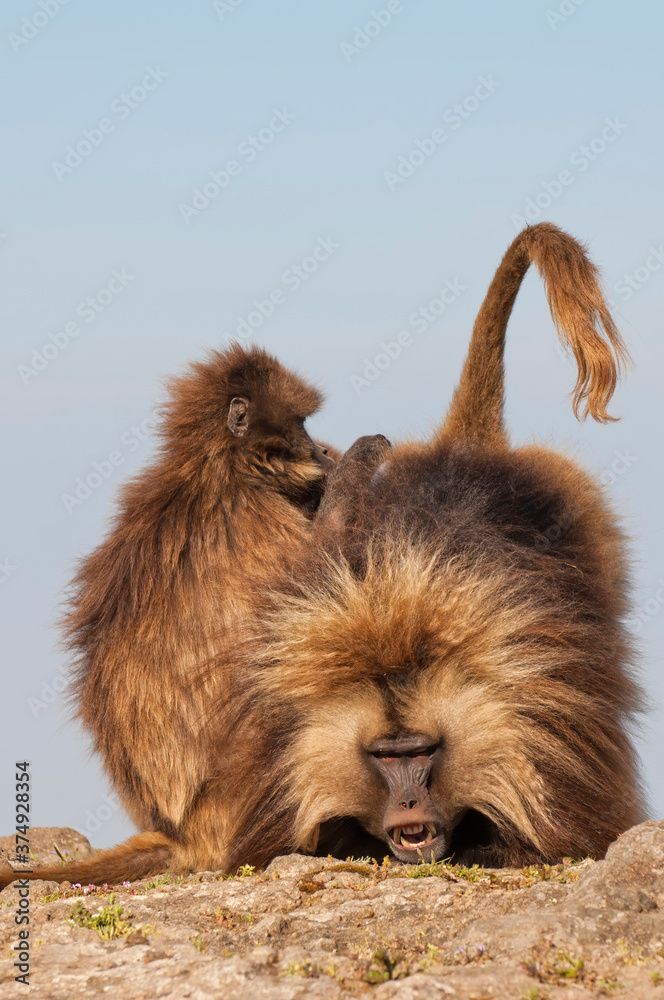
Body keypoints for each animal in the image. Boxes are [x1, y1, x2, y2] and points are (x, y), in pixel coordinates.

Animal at [1, 222, 646, 888]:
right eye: (306, 427)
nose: (329, 453)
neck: (216, 471)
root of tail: (186, 838)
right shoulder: (265, 523)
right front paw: (363, 462)